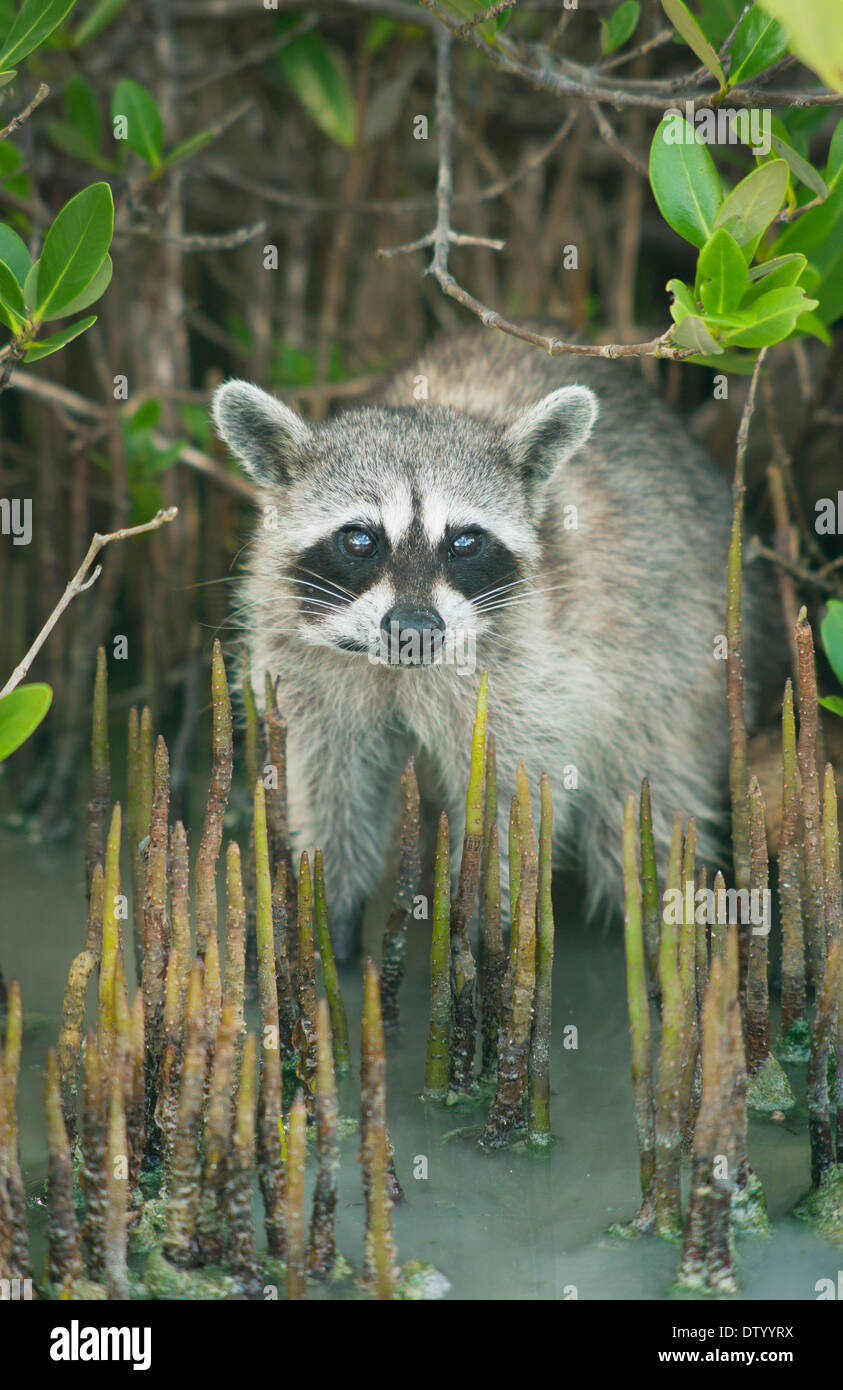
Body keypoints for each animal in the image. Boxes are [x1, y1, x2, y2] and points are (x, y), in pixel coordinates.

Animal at [212, 327, 773, 960]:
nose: (415, 627)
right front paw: (328, 904)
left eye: (464, 542)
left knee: (640, 799)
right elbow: (329, 778)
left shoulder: (538, 662)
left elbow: (508, 797)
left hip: (676, 652)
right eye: (359, 540)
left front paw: (481, 926)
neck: (397, 668)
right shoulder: (302, 666)